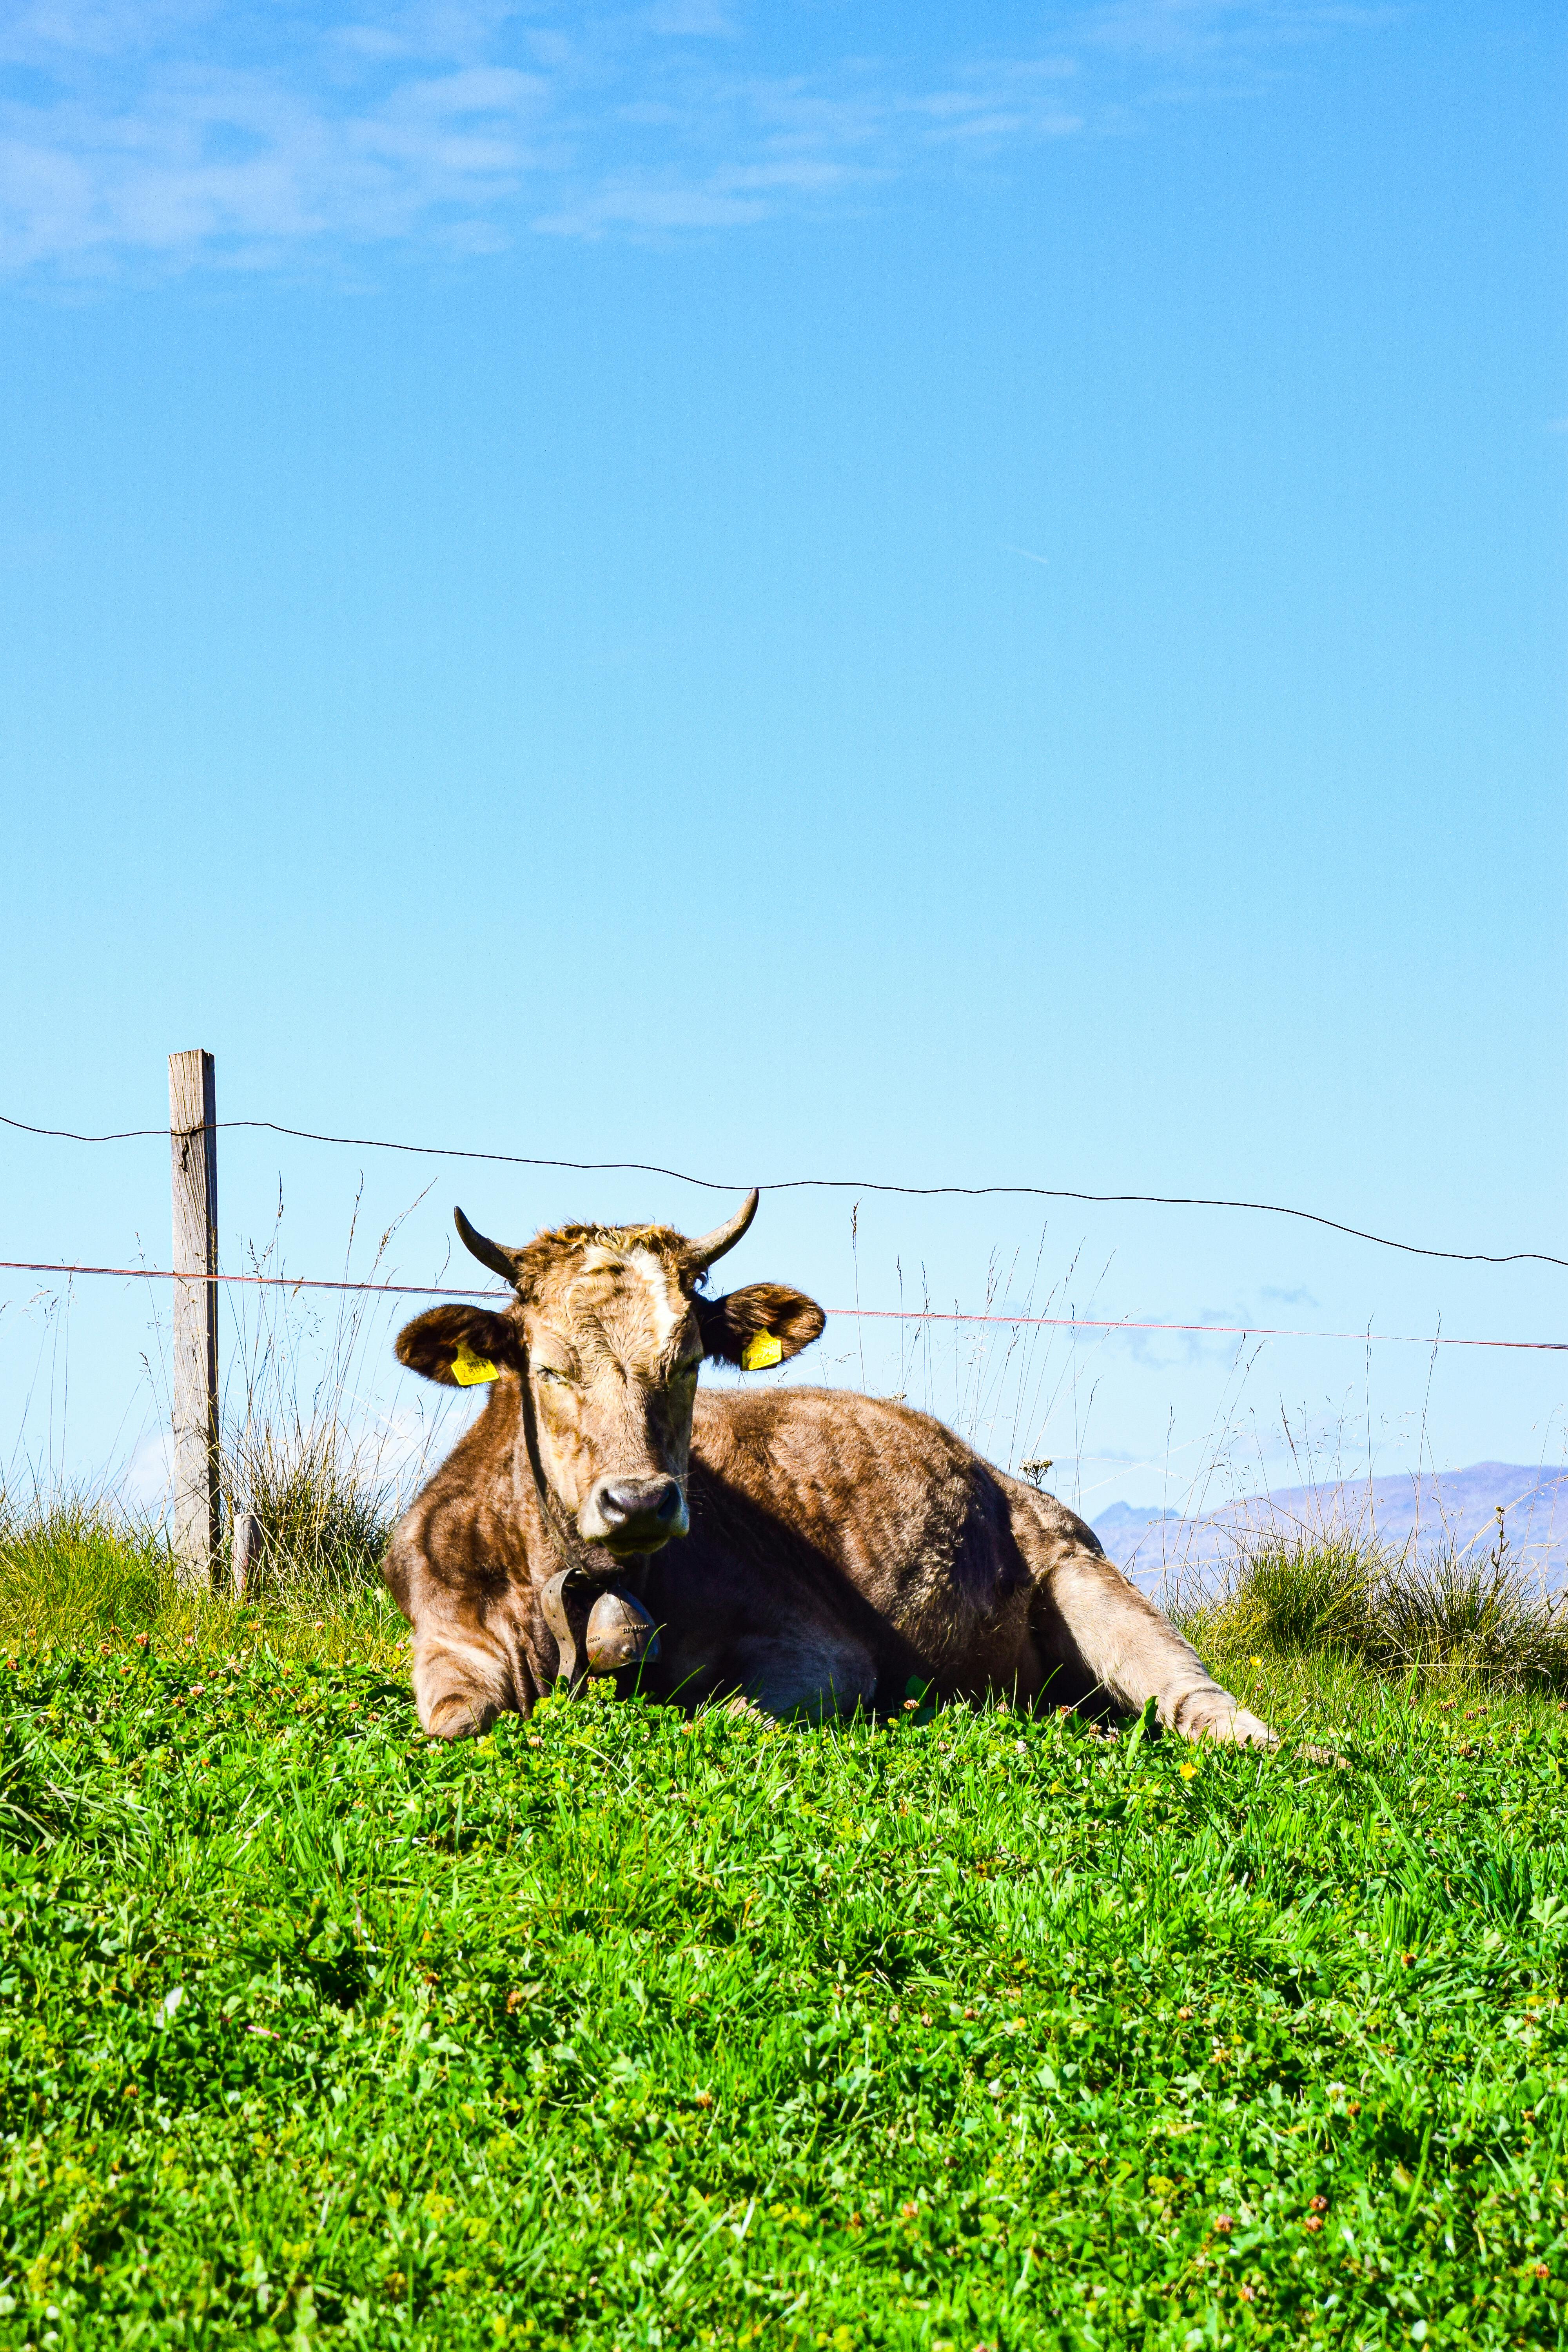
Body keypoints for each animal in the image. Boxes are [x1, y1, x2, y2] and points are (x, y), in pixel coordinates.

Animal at [384, 1191, 1278, 1748]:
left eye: (687, 1362)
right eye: (547, 1369)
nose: (639, 1501)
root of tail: (1006, 1479)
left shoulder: (822, 1651)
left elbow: (724, 1717)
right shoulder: (446, 1635)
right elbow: (456, 1720)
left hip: (1088, 1582)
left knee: (1199, 1702)